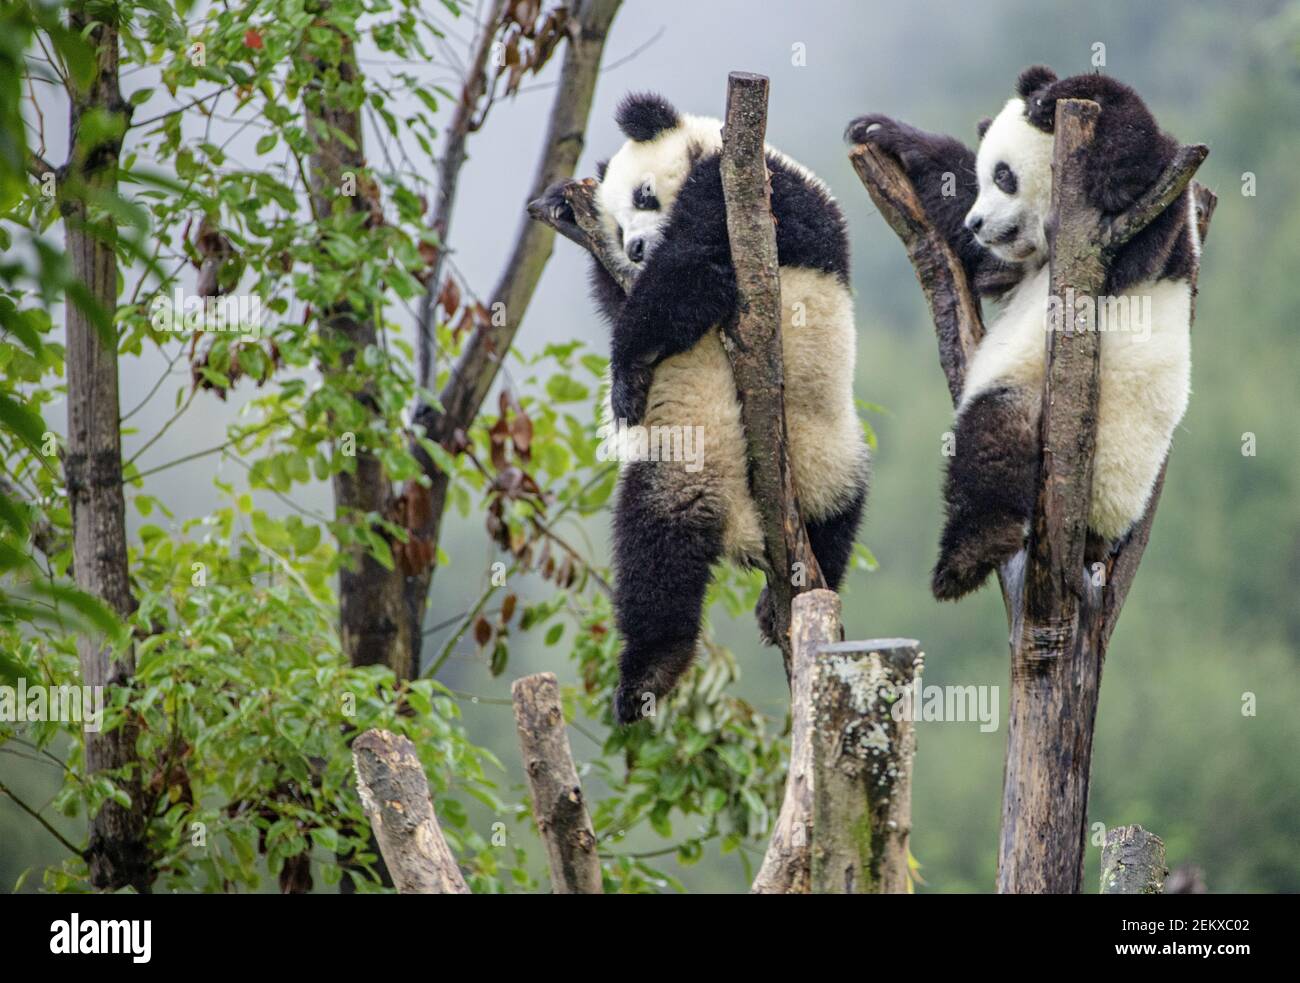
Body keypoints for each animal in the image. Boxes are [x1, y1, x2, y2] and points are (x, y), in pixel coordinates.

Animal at [541, 92, 869, 724]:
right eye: (617, 227)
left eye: (644, 195)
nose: (635, 246)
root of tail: (748, 526)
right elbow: (631, 294)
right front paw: (563, 208)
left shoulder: (745, 192)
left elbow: (693, 271)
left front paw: (624, 376)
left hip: (782, 445)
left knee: (665, 544)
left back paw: (659, 664)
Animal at [847, 66, 1199, 601]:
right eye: (984, 178)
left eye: (1004, 176)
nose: (977, 221)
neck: (1049, 245)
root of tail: (1096, 537)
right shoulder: (1012, 261)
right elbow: (977, 250)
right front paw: (884, 132)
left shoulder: (1149, 231)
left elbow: (1134, 172)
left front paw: (1055, 95)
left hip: (1089, 440)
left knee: (990, 444)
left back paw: (969, 554)